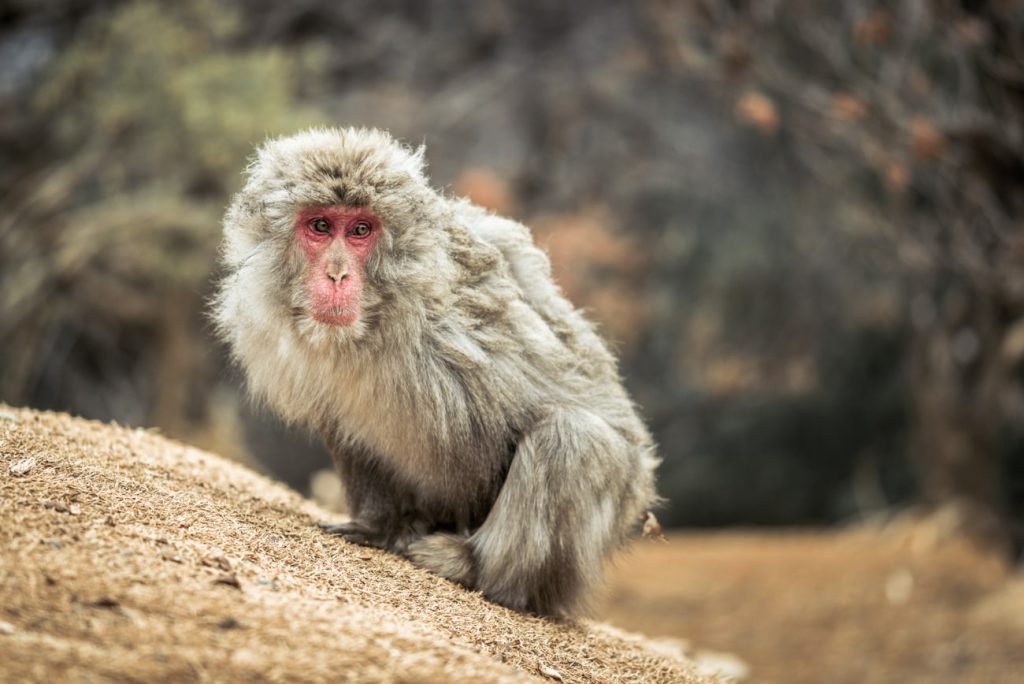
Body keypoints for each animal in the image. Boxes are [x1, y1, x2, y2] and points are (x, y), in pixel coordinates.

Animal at [212, 127, 660, 618]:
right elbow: (348, 423)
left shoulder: (455, 340)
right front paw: (379, 525)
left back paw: (479, 570)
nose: (337, 274)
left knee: (573, 436)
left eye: (361, 230)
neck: (377, 323)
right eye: (321, 227)